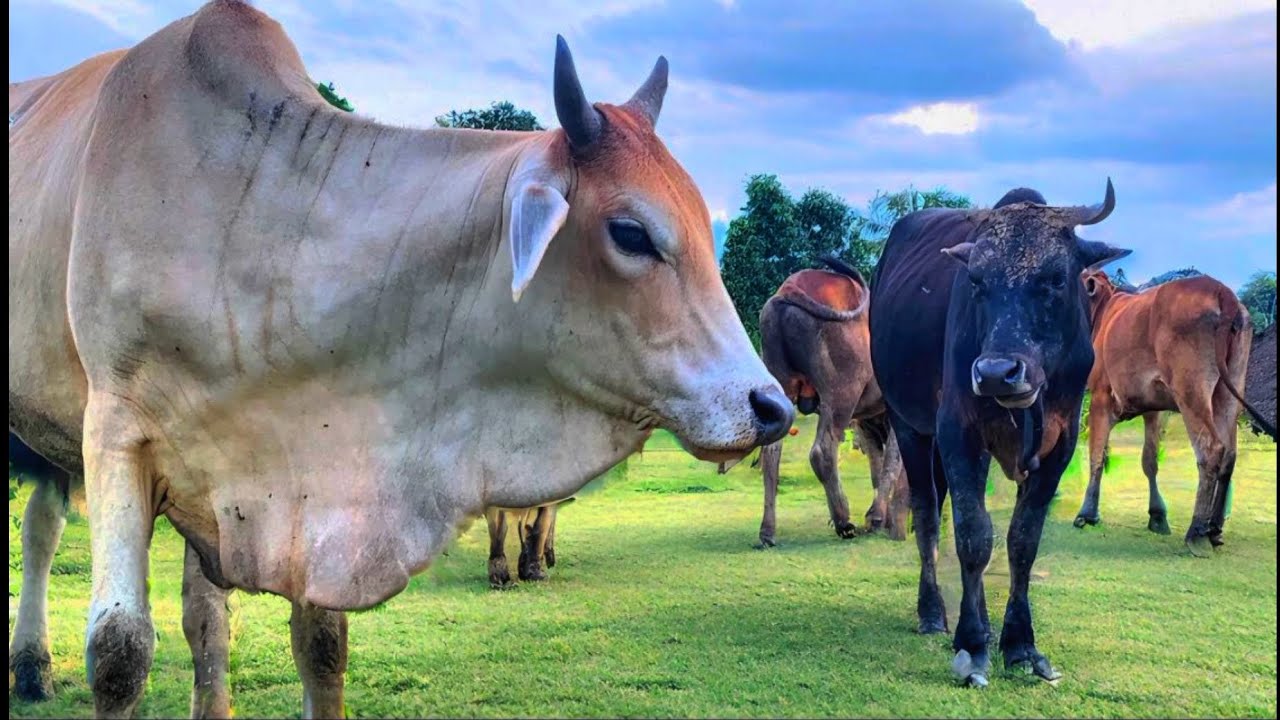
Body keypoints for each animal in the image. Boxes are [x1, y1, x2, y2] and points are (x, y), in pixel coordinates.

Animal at [7, 2, 792, 717]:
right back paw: (32, 667)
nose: (771, 406)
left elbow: (318, 644)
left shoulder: (297, 491)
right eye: (631, 233)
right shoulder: (115, 433)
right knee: (45, 532)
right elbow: (119, 655)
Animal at [755, 256, 909, 546]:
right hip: (840, 397)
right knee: (822, 451)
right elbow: (892, 464)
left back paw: (767, 530)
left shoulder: (868, 421)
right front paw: (881, 519)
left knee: (770, 453)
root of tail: (789, 289)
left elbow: (879, 465)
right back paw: (843, 520)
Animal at [870, 184, 1130, 687]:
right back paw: (934, 613)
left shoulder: (1060, 445)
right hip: (909, 426)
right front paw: (972, 647)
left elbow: (1022, 541)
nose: (995, 373)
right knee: (928, 515)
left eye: (1054, 279)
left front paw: (1019, 644)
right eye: (976, 281)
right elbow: (974, 536)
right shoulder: (957, 431)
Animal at [1072, 271, 1272, 554]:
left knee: (1211, 448)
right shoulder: (1153, 408)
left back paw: (1196, 532)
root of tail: (1222, 291)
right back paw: (1214, 529)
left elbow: (1097, 455)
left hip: (1191, 389)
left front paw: (1087, 513)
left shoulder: (1101, 395)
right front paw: (1157, 515)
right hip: (1230, 386)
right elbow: (1149, 460)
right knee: (1229, 454)